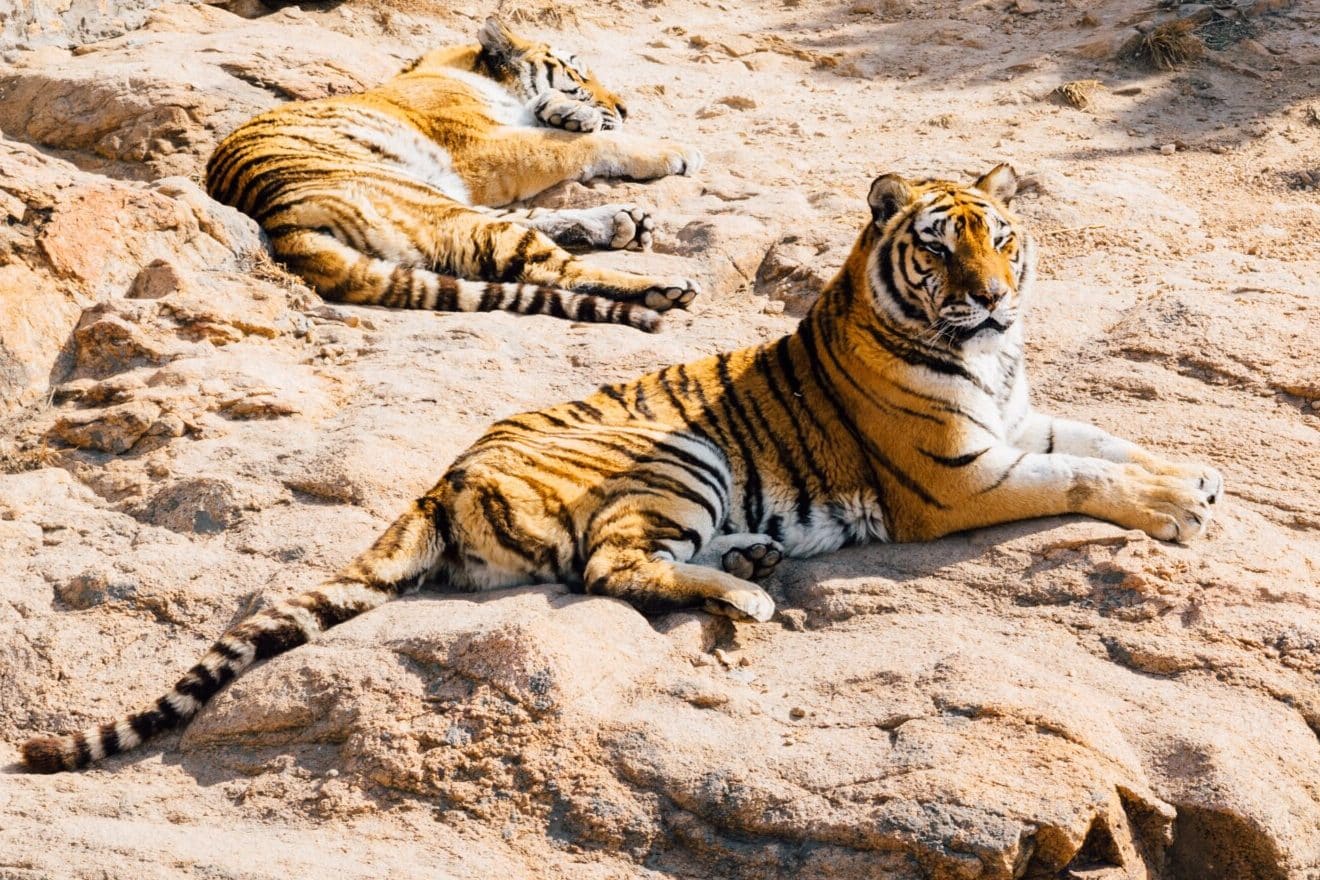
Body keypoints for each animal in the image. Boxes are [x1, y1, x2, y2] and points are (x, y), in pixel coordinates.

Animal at [21, 164, 1225, 773]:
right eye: (939, 246)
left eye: (1003, 237)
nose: (991, 294)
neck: (989, 355)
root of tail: (439, 477)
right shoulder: (959, 477)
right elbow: (1084, 479)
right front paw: (1179, 503)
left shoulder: (1018, 419)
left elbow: (1103, 442)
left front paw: (1202, 474)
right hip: (680, 451)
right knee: (611, 566)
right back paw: (752, 590)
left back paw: (751, 562)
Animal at [204, 16, 705, 333]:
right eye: (579, 73)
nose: (625, 107)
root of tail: (280, 226)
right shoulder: (481, 149)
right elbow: (585, 144)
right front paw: (674, 151)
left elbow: (557, 126)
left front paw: (565, 113)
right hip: (435, 206)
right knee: (550, 268)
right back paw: (663, 286)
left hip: (446, 208)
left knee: (527, 228)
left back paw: (624, 221)